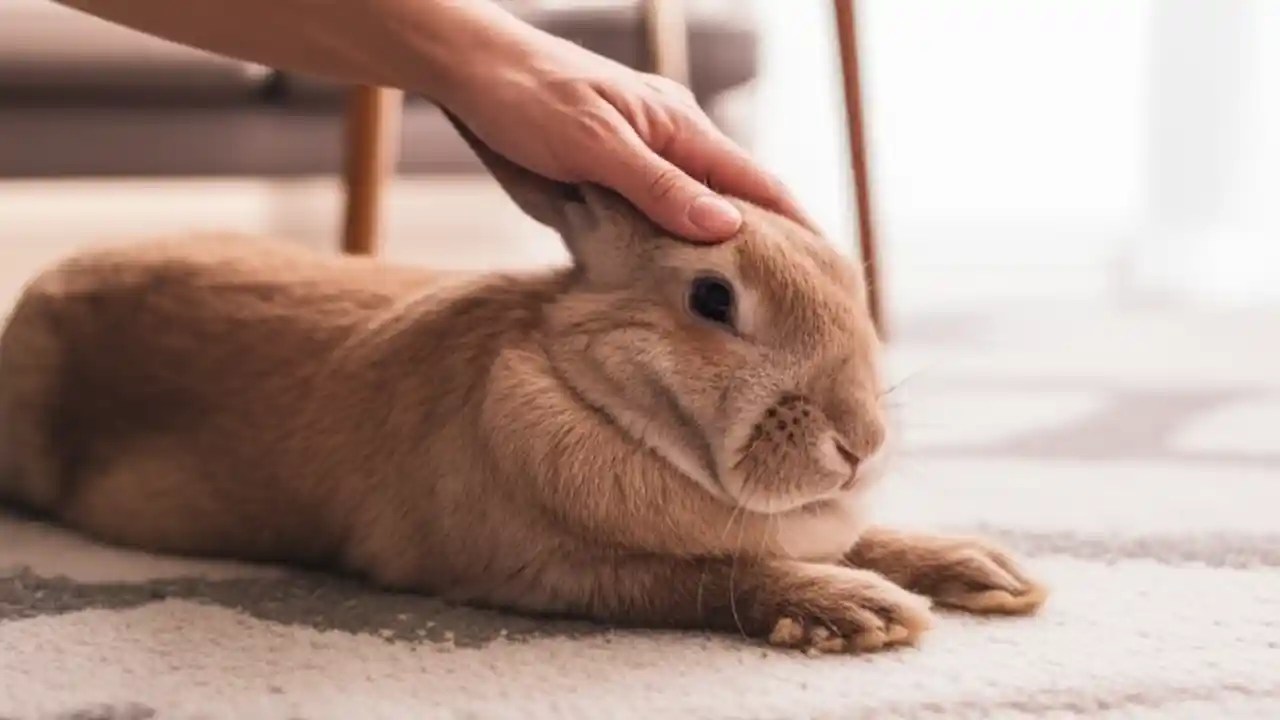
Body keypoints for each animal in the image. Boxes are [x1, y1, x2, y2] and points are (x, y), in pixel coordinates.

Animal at [0, 116, 1046, 653]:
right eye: (712, 299)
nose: (861, 444)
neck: (598, 398)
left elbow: (861, 536)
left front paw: (983, 572)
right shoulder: (553, 569)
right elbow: (712, 577)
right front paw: (861, 611)